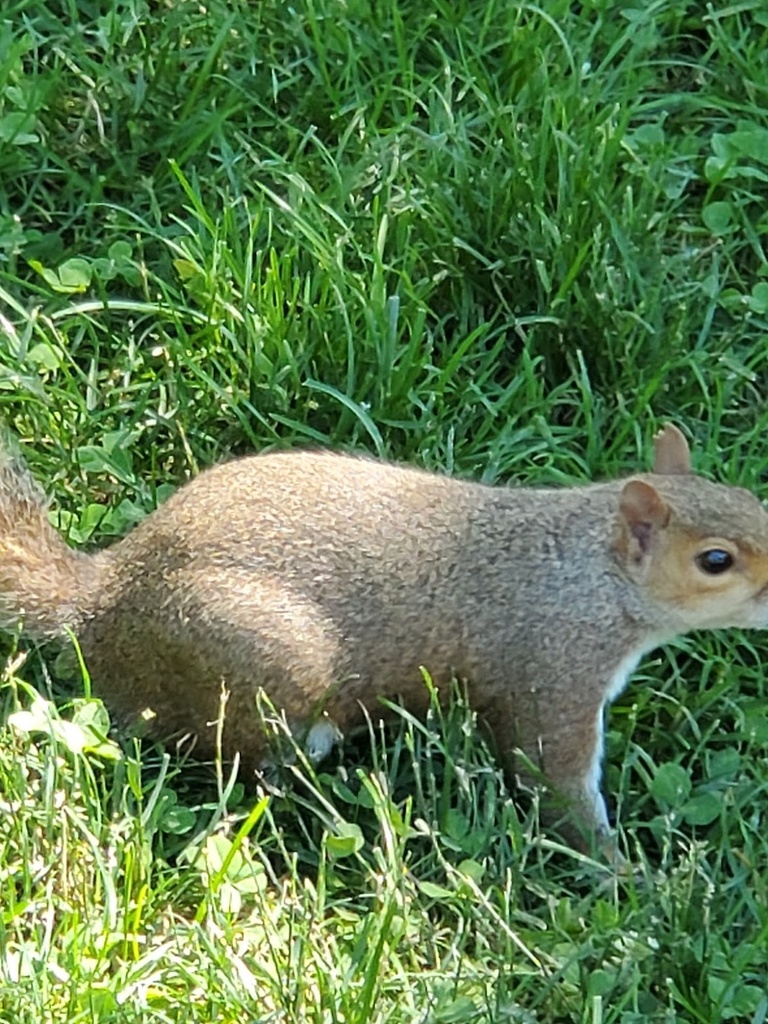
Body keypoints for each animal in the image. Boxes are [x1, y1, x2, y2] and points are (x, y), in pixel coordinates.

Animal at [2, 424, 768, 851]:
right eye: (716, 561)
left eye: (754, 501)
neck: (588, 571)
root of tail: (101, 606)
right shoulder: (554, 670)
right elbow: (554, 780)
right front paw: (624, 874)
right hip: (264, 666)